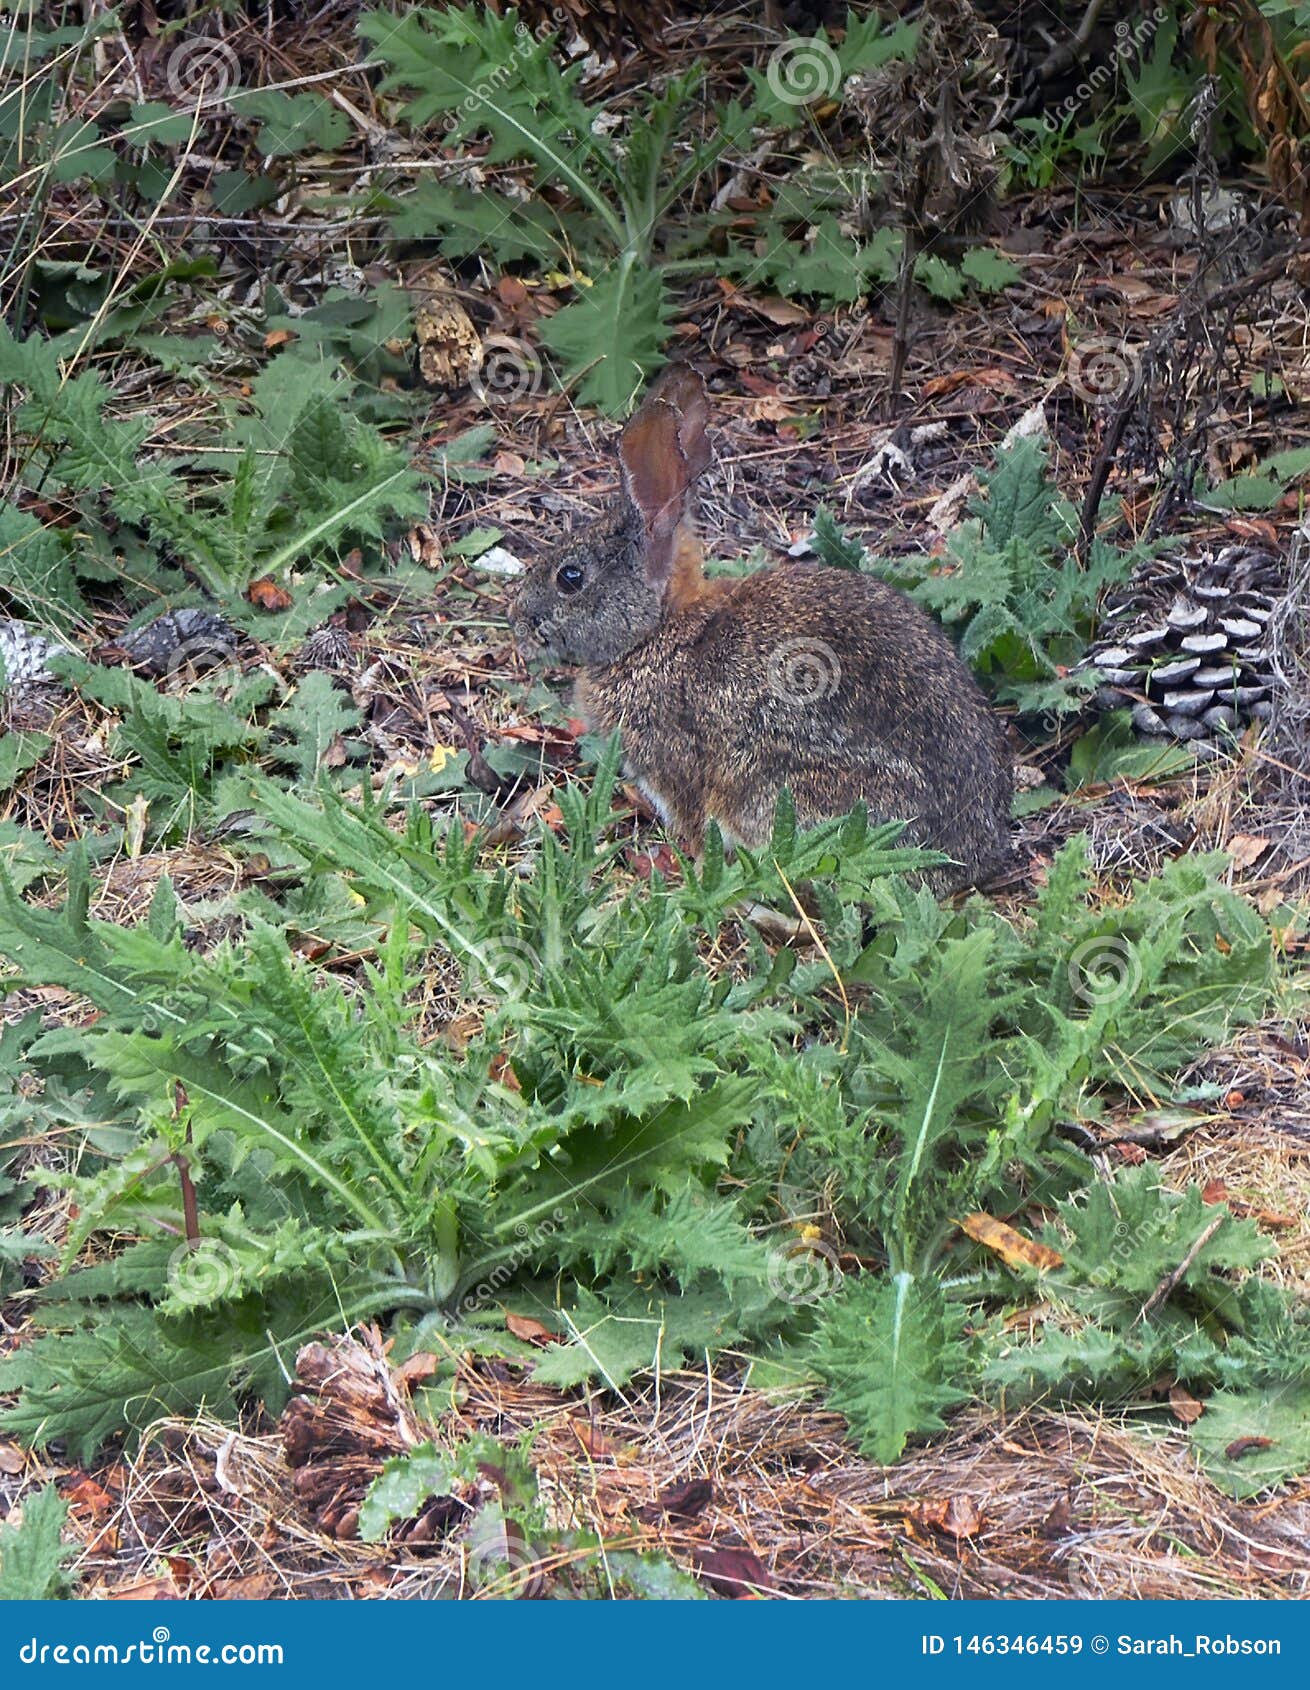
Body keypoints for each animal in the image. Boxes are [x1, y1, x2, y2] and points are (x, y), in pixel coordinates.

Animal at [509, 367, 1012, 892]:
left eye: (570, 577)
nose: (517, 625)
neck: (657, 631)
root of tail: (973, 852)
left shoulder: (678, 768)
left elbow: (694, 820)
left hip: (775, 784)